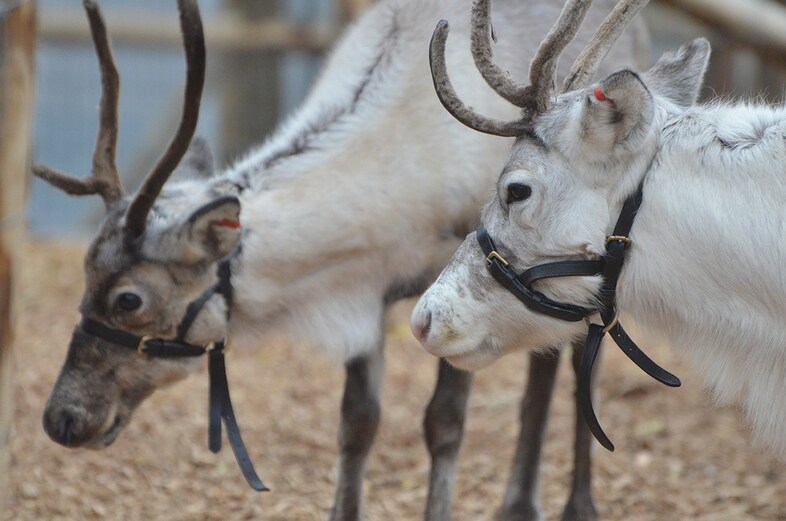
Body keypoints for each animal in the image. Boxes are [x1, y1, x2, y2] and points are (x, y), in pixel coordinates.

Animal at [34, 0, 645, 519]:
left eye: (129, 299)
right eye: (86, 277)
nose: (61, 419)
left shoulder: (467, 290)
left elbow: (445, 423)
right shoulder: (365, 291)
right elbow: (357, 424)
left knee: (578, 366)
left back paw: (573, 505)